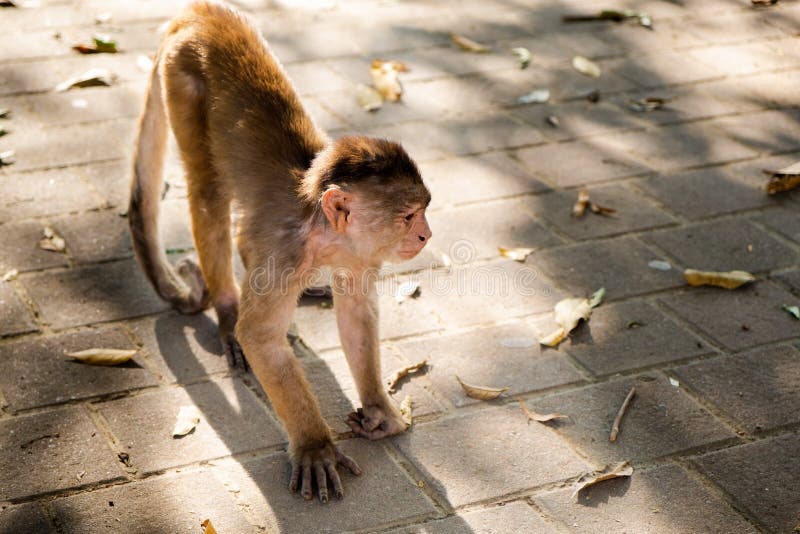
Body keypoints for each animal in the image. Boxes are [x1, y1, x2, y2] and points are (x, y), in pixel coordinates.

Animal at [128, 1, 432, 503]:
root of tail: (198, 13)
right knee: (209, 191)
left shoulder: (360, 254)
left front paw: (380, 412)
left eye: (423, 212)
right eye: (410, 216)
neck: (320, 230)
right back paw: (227, 309)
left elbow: (356, 316)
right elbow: (260, 337)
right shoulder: (283, 255)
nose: (427, 235)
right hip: (180, 71)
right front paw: (314, 446)